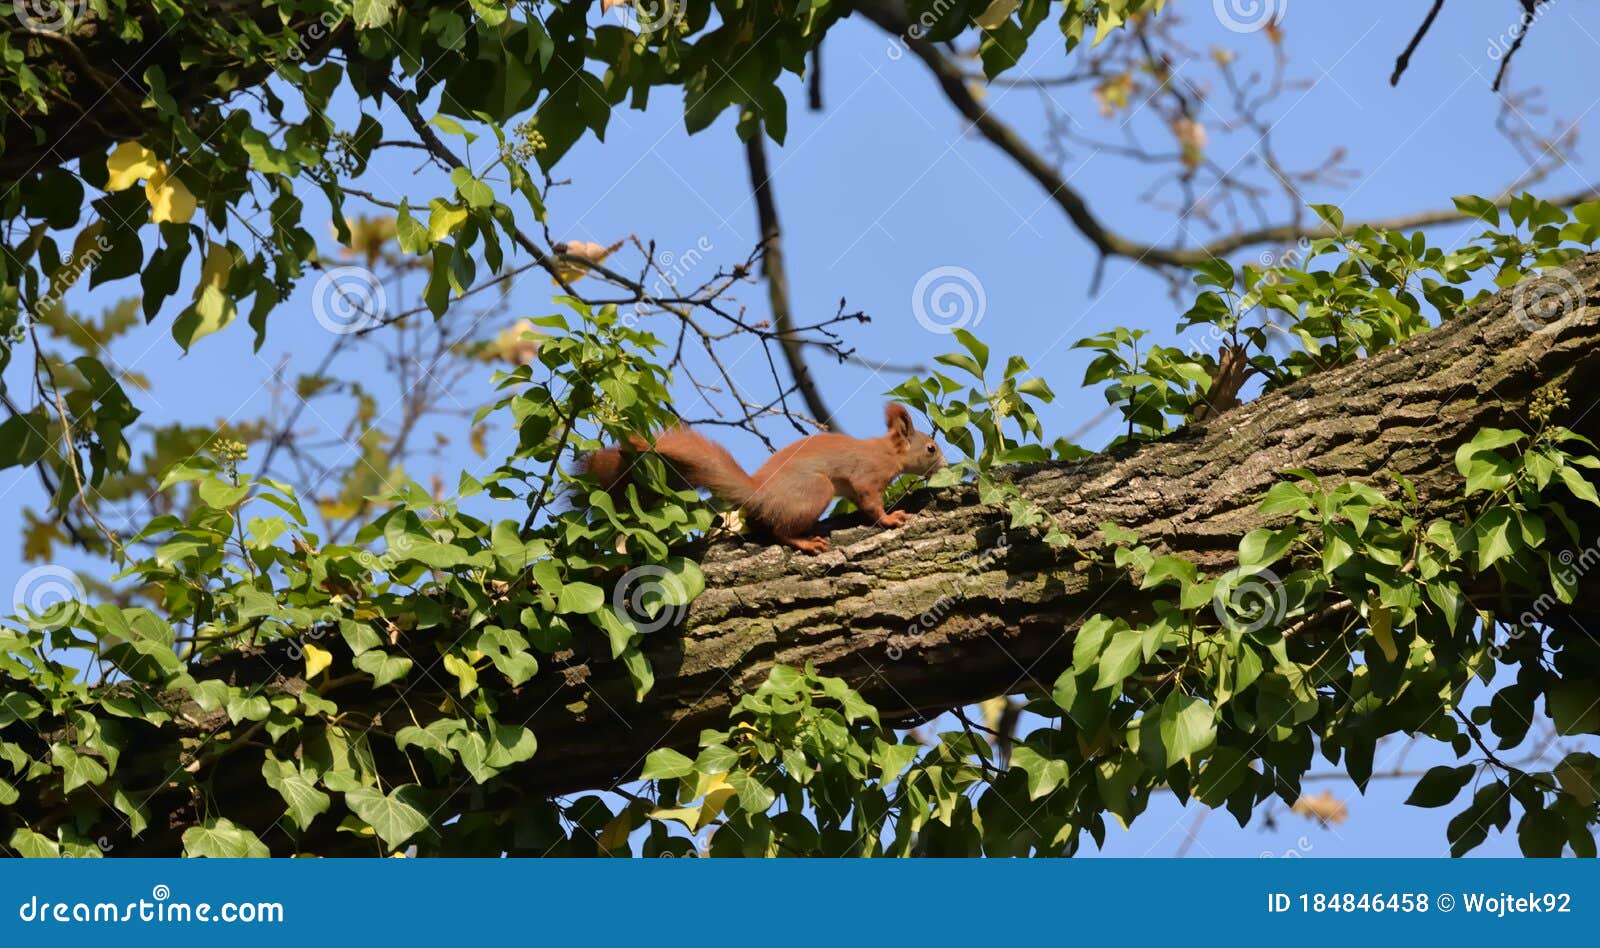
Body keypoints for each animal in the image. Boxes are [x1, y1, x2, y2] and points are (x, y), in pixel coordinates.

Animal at [581, 403, 947, 554]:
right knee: (780, 531)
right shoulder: (867, 476)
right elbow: (870, 502)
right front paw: (891, 518)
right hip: (817, 488)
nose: (944, 464)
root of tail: (758, 494)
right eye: (930, 448)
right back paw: (805, 541)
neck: (888, 453)